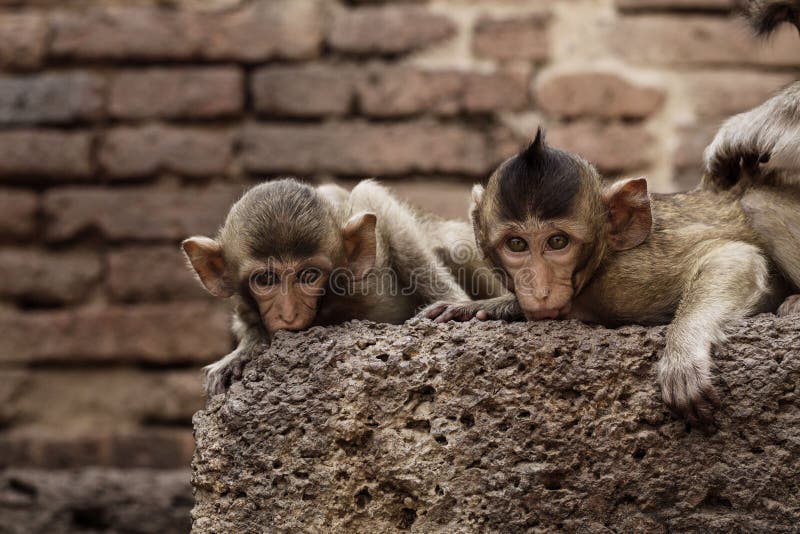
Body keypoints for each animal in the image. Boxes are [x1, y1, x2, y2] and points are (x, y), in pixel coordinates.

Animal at [183, 177, 505, 395]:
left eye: (309, 275)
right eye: (265, 280)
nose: (288, 314)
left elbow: (372, 198)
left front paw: (456, 305)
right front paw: (246, 348)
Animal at [424, 128, 790, 424]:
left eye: (558, 242)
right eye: (516, 244)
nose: (539, 289)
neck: (599, 265)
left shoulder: (628, 279)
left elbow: (733, 255)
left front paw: (684, 353)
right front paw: (481, 307)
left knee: (759, 202)